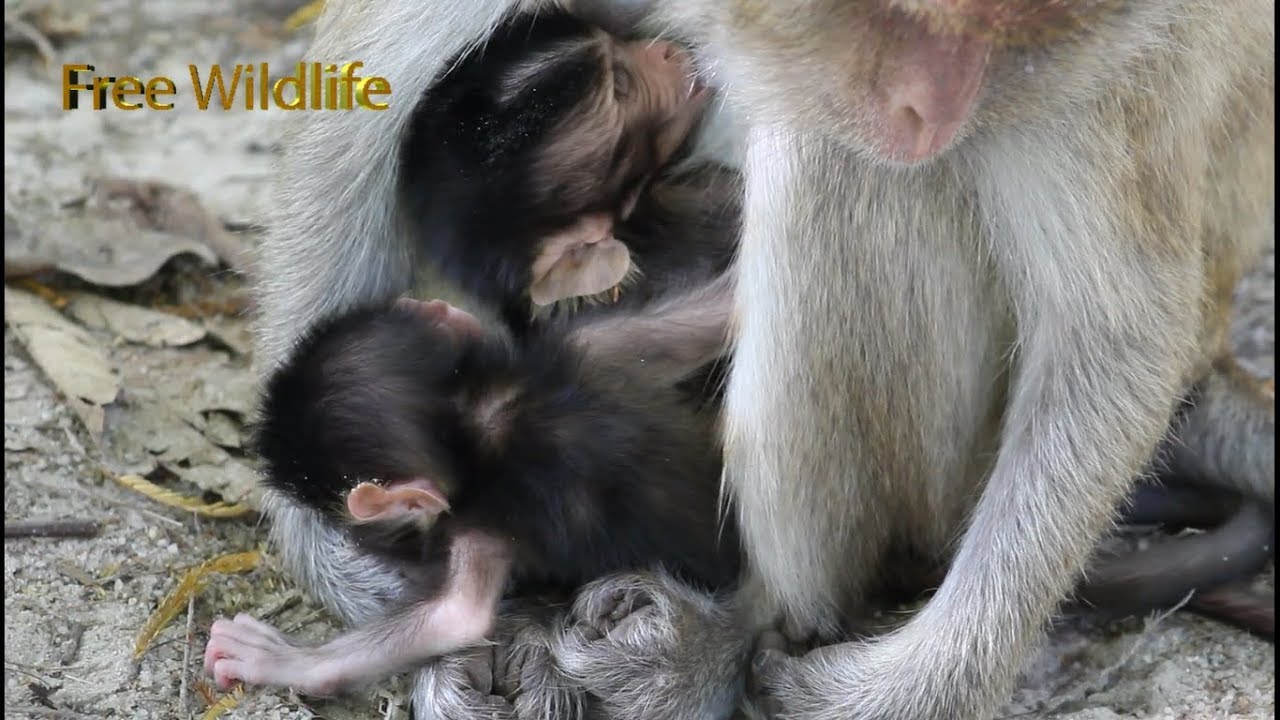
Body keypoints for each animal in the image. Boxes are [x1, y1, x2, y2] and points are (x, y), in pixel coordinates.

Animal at [206, 277, 741, 696]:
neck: (471, 417)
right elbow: (707, 319)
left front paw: (281, 660)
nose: (358, 545)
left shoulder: (481, 521)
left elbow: (456, 616)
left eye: (345, 520)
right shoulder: (591, 345)